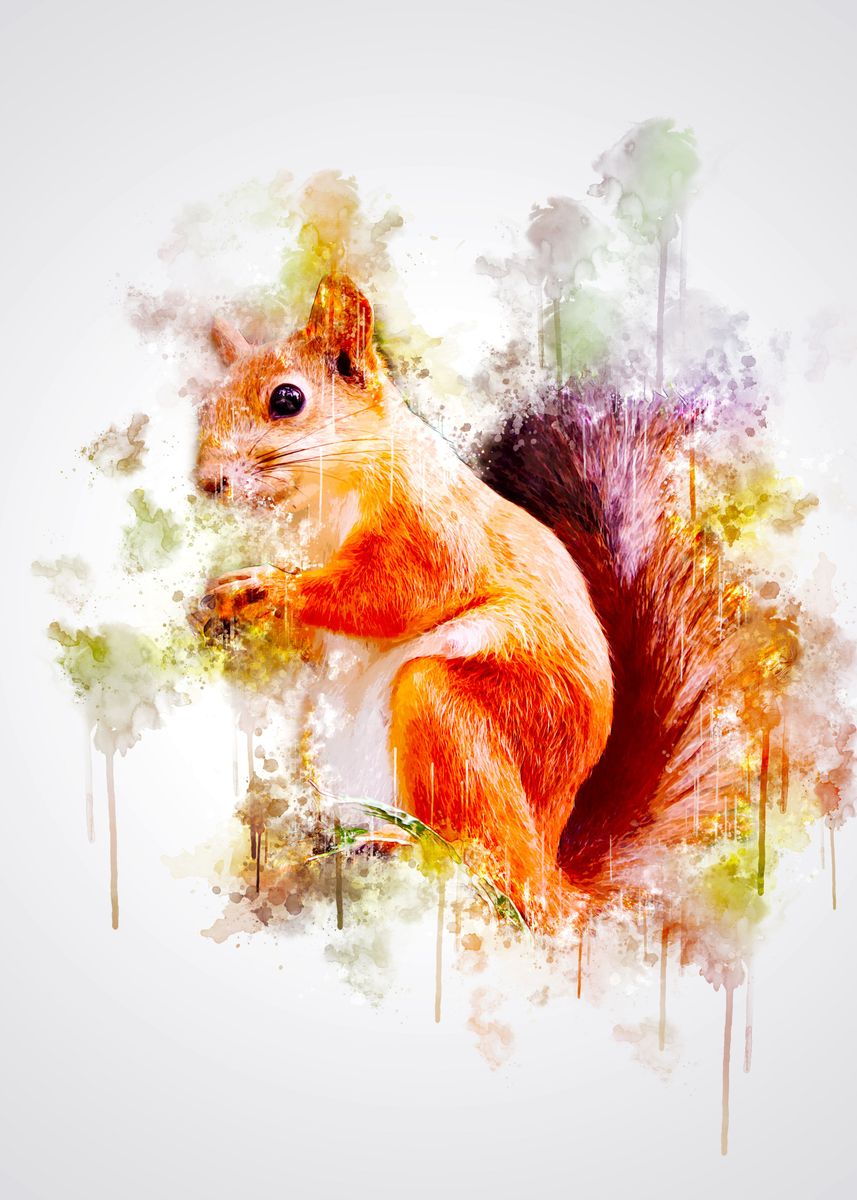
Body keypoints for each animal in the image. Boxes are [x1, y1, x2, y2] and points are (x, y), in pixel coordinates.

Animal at [194, 273, 731, 930]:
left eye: (288, 400)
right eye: (205, 405)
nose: (208, 482)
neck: (322, 501)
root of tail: (552, 875)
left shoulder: (430, 523)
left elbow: (391, 593)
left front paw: (269, 588)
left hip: (448, 716)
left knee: (481, 858)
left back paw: (406, 845)